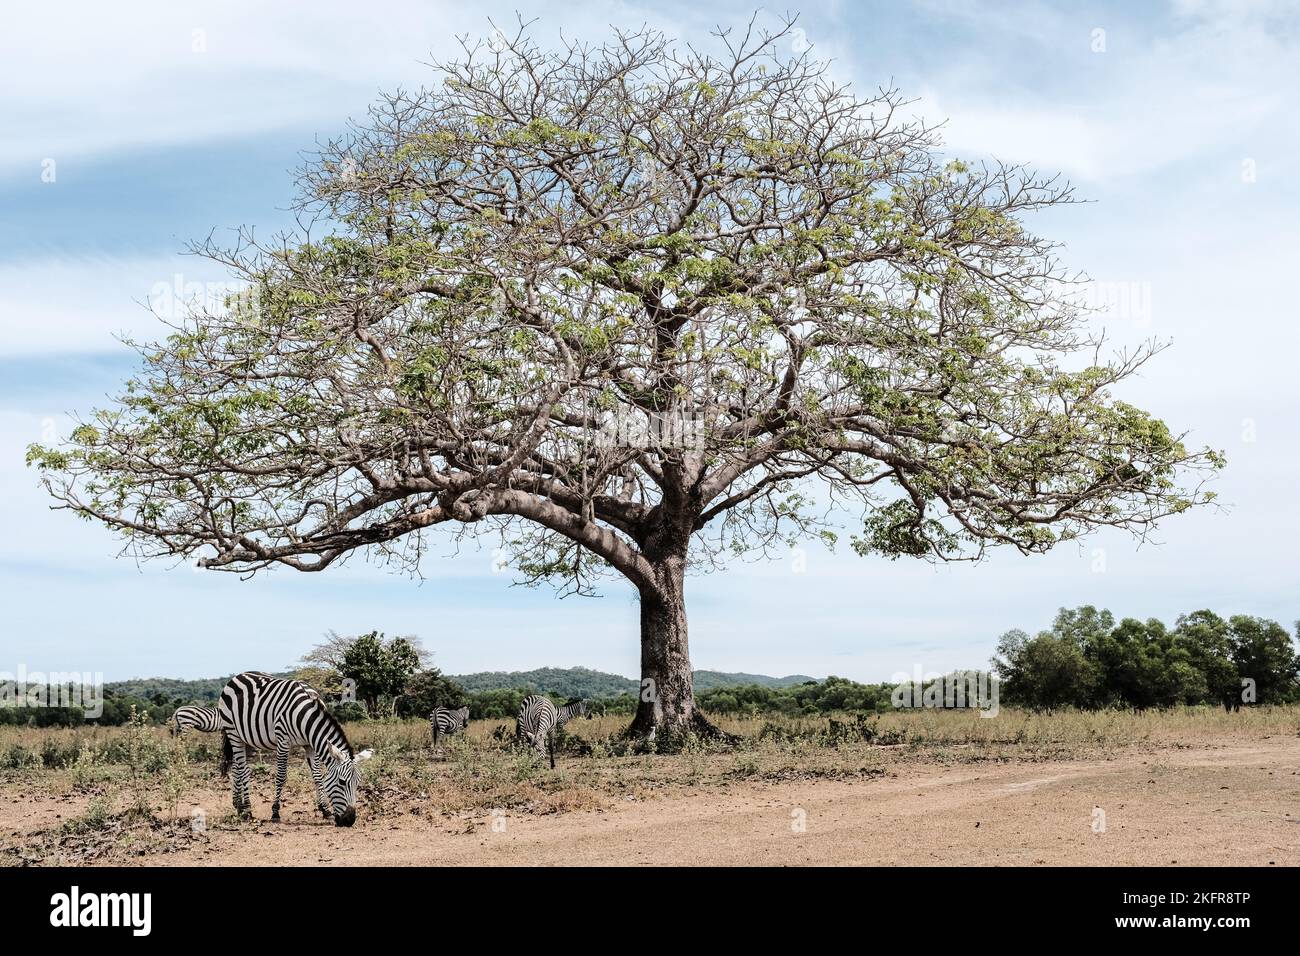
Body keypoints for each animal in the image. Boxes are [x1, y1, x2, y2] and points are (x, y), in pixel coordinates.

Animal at [217, 671, 373, 827]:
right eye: (342, 782)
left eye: (358, 782)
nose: (350, 820)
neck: (305, 717)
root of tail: (238, 675)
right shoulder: (283, 741)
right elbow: (281, 777)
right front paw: (275, 812)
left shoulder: (310, 745)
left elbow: (317, 777)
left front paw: (324, 809)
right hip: (233, 732)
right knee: (243, 770)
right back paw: (247, 810)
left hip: (248, 739)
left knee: (237, 767)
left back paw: (238, 806)